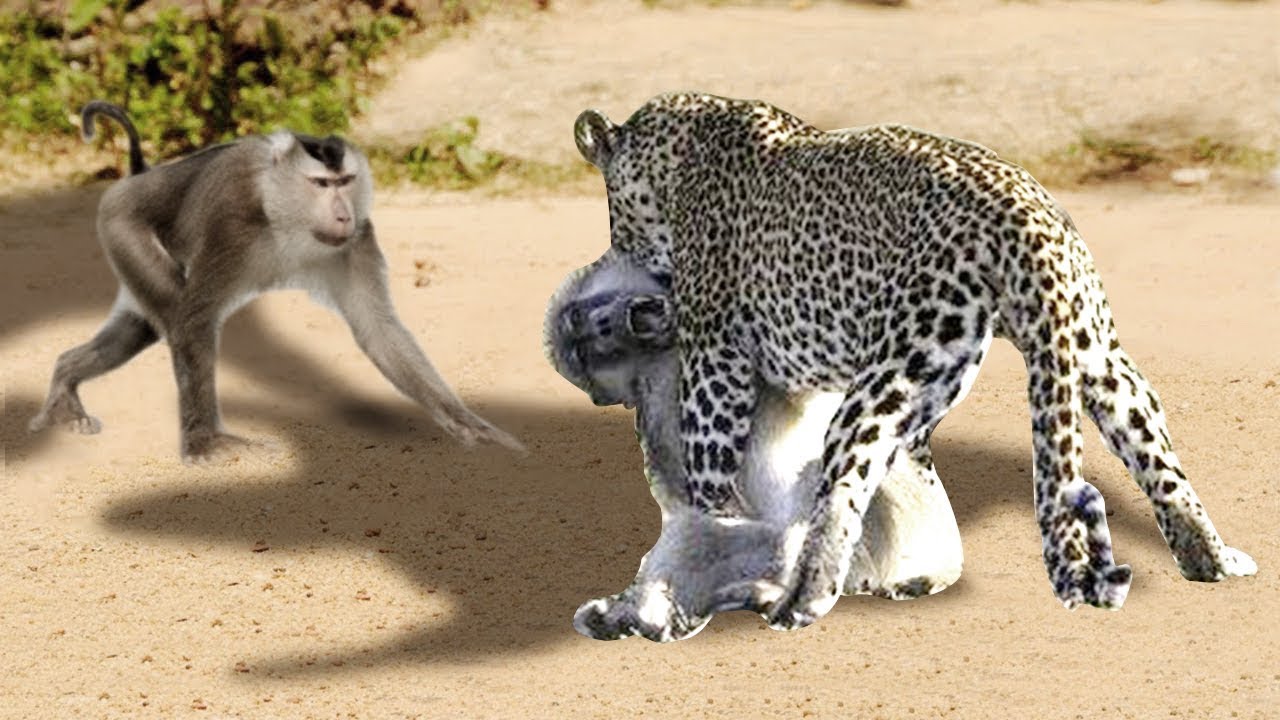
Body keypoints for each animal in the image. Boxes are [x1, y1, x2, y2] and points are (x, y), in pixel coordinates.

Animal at [29, 100, 521, 463]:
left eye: (346, 181)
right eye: (321, 184)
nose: (342, 214)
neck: (283, 212)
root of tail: (139, 177)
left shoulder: (356, 239)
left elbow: (378, 330)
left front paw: (464, 422)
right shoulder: (232, 222)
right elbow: (194, 319)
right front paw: (205, 442)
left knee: (139, 327)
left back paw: (66, 378)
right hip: (122, 225)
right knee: (170, 312)